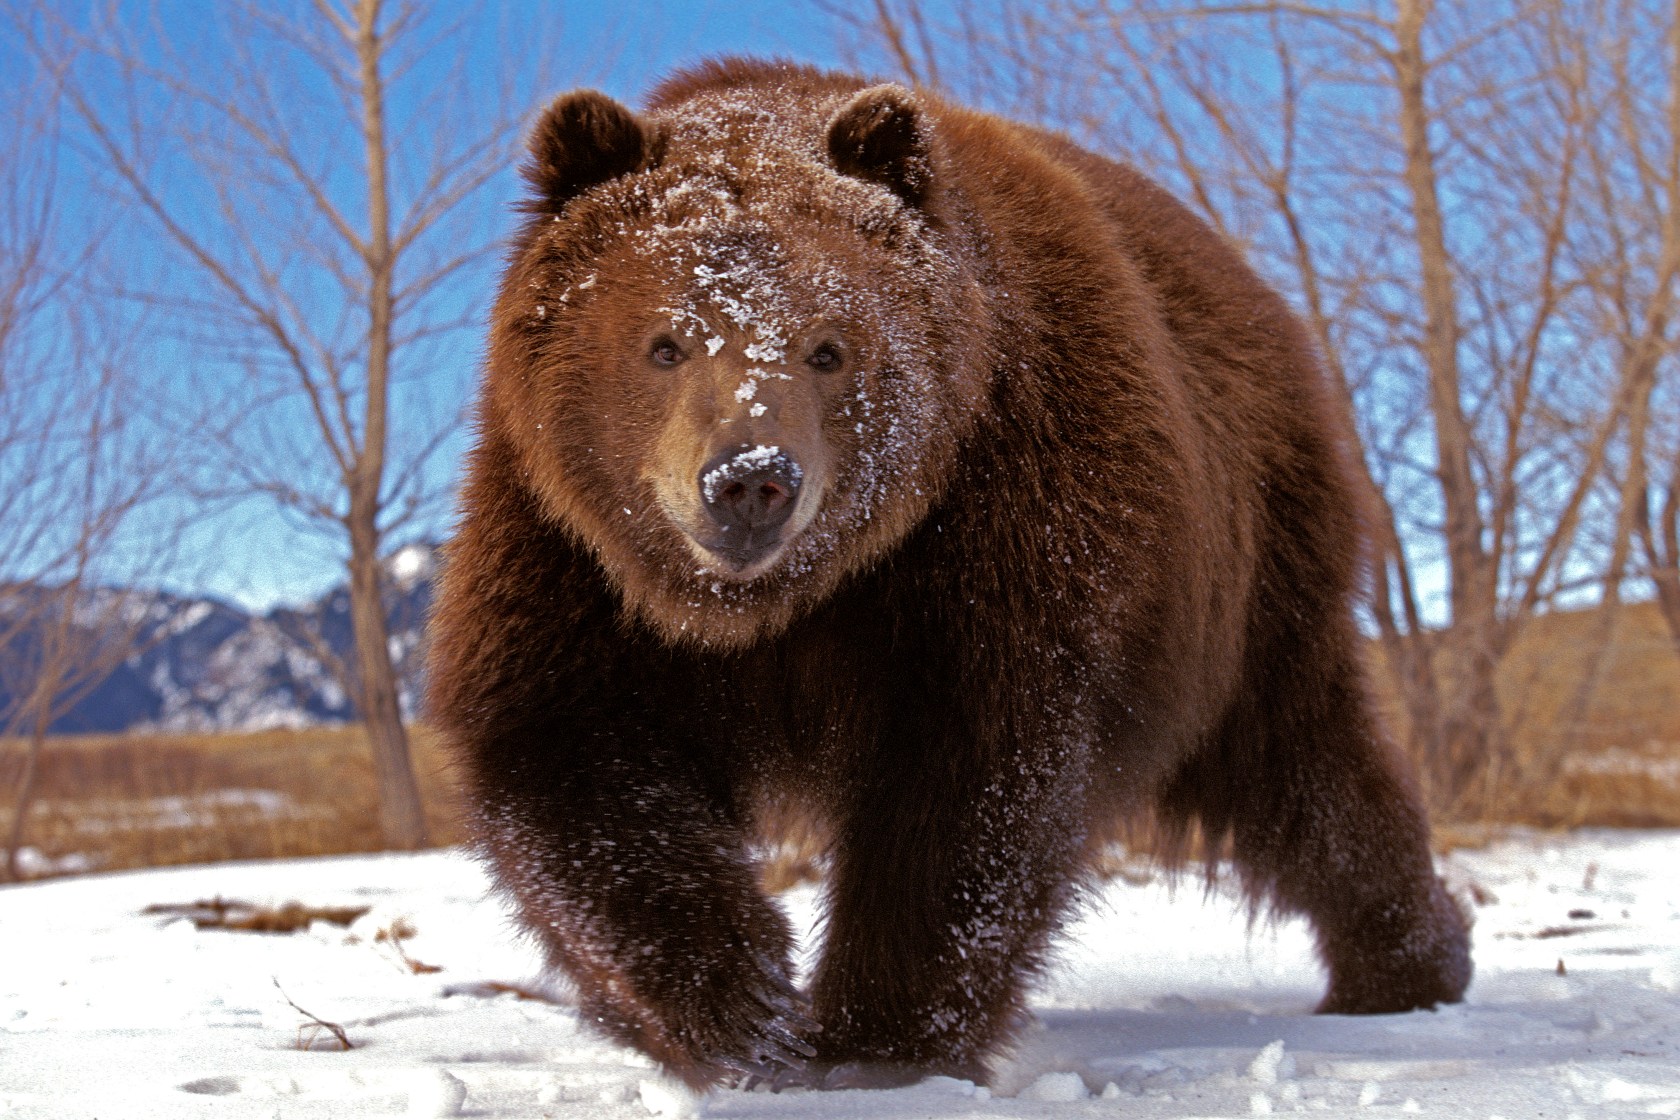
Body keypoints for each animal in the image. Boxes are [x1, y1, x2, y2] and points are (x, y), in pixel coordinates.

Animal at [426, 57, 1472, 1092]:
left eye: (828, 346)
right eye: (665, 341)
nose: (751, 480)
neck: (780, 606)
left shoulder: (993, 521)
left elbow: (970, 790)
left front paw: (876, 1038)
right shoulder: (572, 558)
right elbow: (565, 753)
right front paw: (742, 1005)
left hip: (1251, 567)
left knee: (1305, 769)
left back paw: (1410, 964)